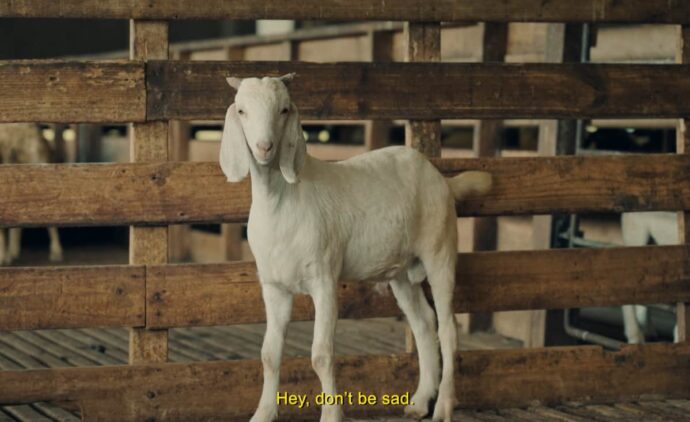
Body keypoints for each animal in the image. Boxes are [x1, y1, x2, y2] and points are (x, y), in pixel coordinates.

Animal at [219, 74, 492, 422]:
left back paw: (443, 406)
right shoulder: (273, 287)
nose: (264, 147)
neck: (282, 198)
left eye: (283, 110)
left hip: (440, 251)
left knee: (448, 329)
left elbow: (321, 354)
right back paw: (419, 401)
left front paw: (331, 415)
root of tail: (442, 179)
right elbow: (269, 354)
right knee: (423, 323)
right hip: (402, 272)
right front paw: (263, 414)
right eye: (241, 110)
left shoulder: (324, 280)